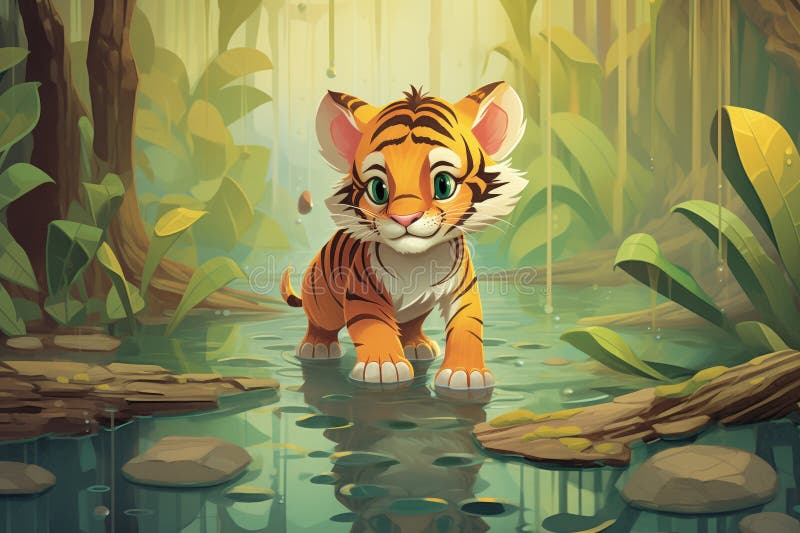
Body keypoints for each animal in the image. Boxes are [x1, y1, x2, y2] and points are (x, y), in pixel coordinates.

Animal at [280, 81, 526, 389]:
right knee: (320, 321)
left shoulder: (462, 290)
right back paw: (317, 347)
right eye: (378, 189)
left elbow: (467, 327)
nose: (405, 218)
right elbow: (374, 326)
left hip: (417, 310)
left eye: (443, 185)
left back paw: (418, 346)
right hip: (322, 298)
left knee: (410, 325)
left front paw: (465, 373)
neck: (416, 260)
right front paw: (383, 367)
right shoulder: (364, 291)